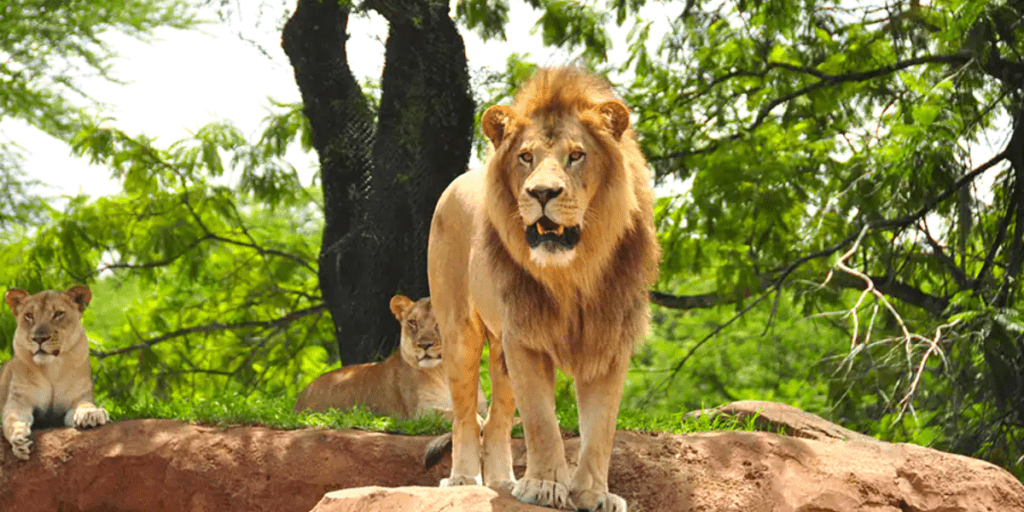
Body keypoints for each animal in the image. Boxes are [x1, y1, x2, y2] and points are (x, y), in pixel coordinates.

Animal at [1, 285, 109, 460]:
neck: (51, 368)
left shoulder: (79, 397)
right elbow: (12, 418)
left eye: (58, 314)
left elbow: (85, 405)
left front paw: (91, 414)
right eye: (29, 316)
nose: (39, 338)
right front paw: (20, 438)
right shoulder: (19, 401)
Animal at [294, 295, 486, 419]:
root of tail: (301, 396)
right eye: (413, 322)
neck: (444, 371)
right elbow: (454, 414)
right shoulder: (421, 413)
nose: (423, 345)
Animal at [427, 67, 660, 511]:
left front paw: (594, 494)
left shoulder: (611, 342)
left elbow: (601, 429)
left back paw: (503, 481)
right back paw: (464, 477)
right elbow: (541, 421)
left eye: (576, 155)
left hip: (500, 353)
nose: (542, 193)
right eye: (525, 157)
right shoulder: (525, 338)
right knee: (466, 416)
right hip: (459, 332)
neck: (573, 274)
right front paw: (545, 487)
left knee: (497, 420)